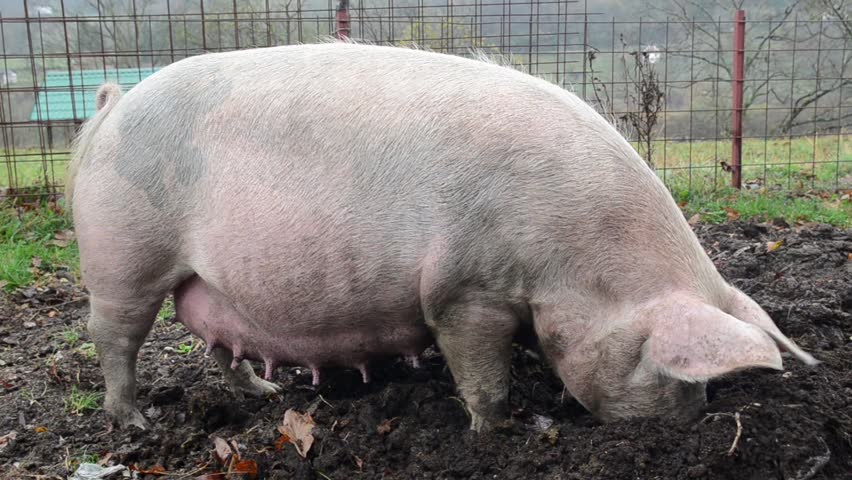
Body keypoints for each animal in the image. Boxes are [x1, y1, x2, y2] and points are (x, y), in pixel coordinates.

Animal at [66, 42, 818, 432]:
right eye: (657, 360)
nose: (685, 423)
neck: (577, 261)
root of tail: (111, 106)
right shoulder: (466, 291)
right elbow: (482, 377)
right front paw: (492, 435)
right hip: (122, 254)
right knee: (115, 338)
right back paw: (132, 423)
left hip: (205, 279)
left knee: (216, 341)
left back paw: (265, 398)